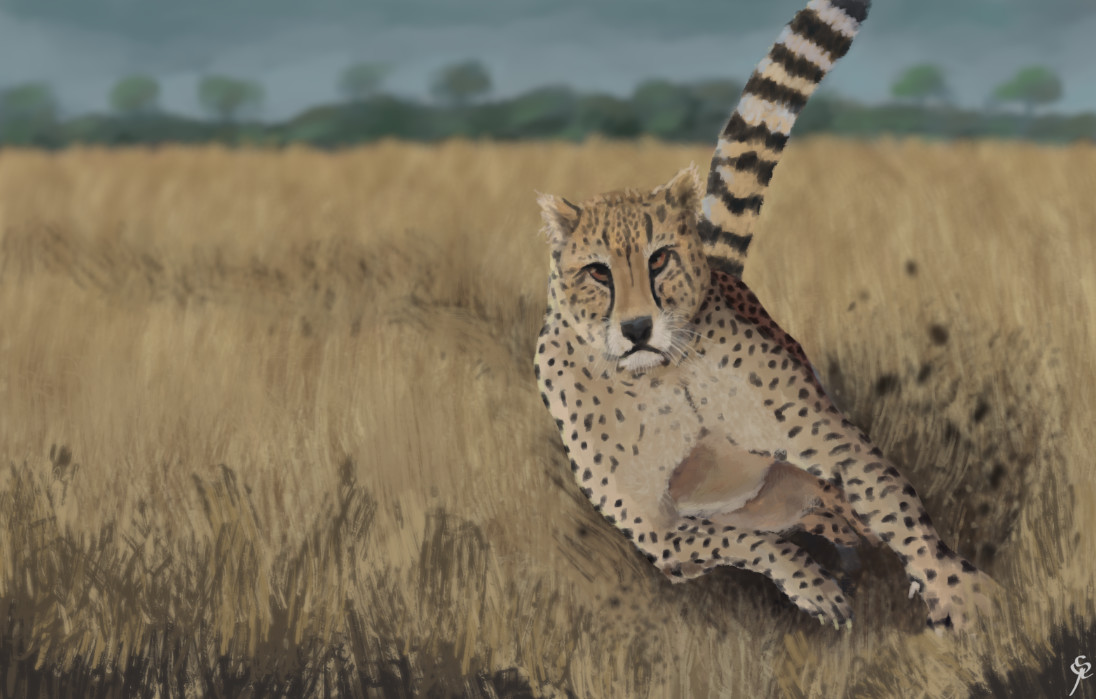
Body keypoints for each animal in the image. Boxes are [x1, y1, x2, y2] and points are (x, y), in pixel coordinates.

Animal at [533, 0, 996, 631]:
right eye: (598, 273)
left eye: (659, 258)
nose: (636, 329)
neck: (664, 375)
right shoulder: (659, 536)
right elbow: (742, 542)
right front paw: (813, 585)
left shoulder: (834, 445)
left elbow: (893, 501)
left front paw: (956, 589)